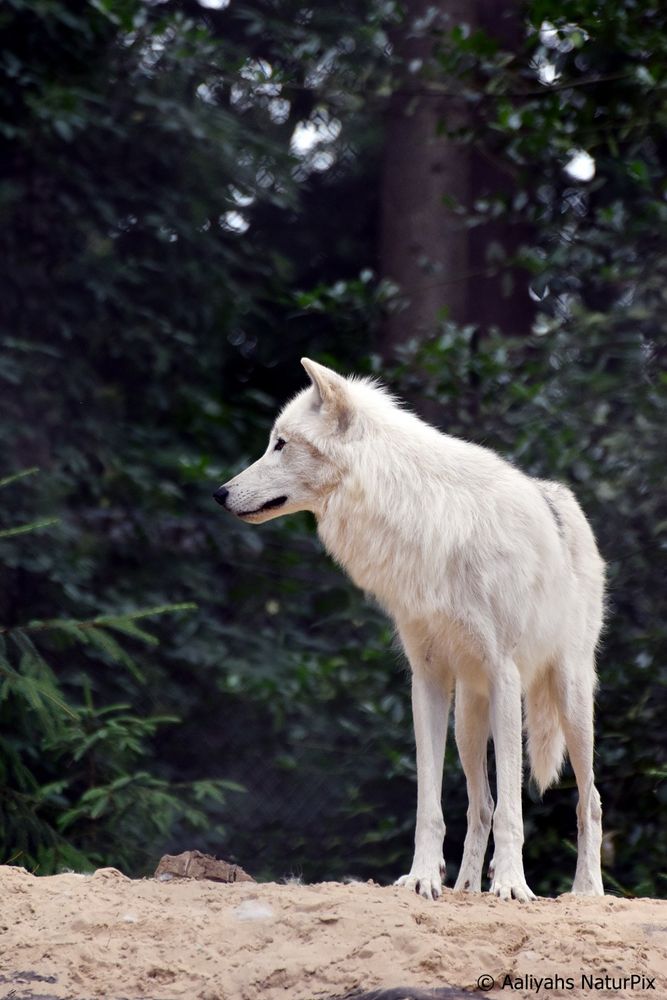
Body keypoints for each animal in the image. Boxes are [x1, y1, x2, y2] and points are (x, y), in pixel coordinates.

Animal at [214, 358, 605, 901]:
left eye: (281, 444)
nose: (220, 493)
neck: (424, 518)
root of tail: (564, 500)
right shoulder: (428, 680)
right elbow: (431, 805)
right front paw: (423, 878)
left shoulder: (506, 676)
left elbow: (514, 809)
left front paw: (511, 885)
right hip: (468, 720)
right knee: (480, 807)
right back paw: (465, 888)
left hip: (569, 699)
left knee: (589, 801)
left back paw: (586, 890)